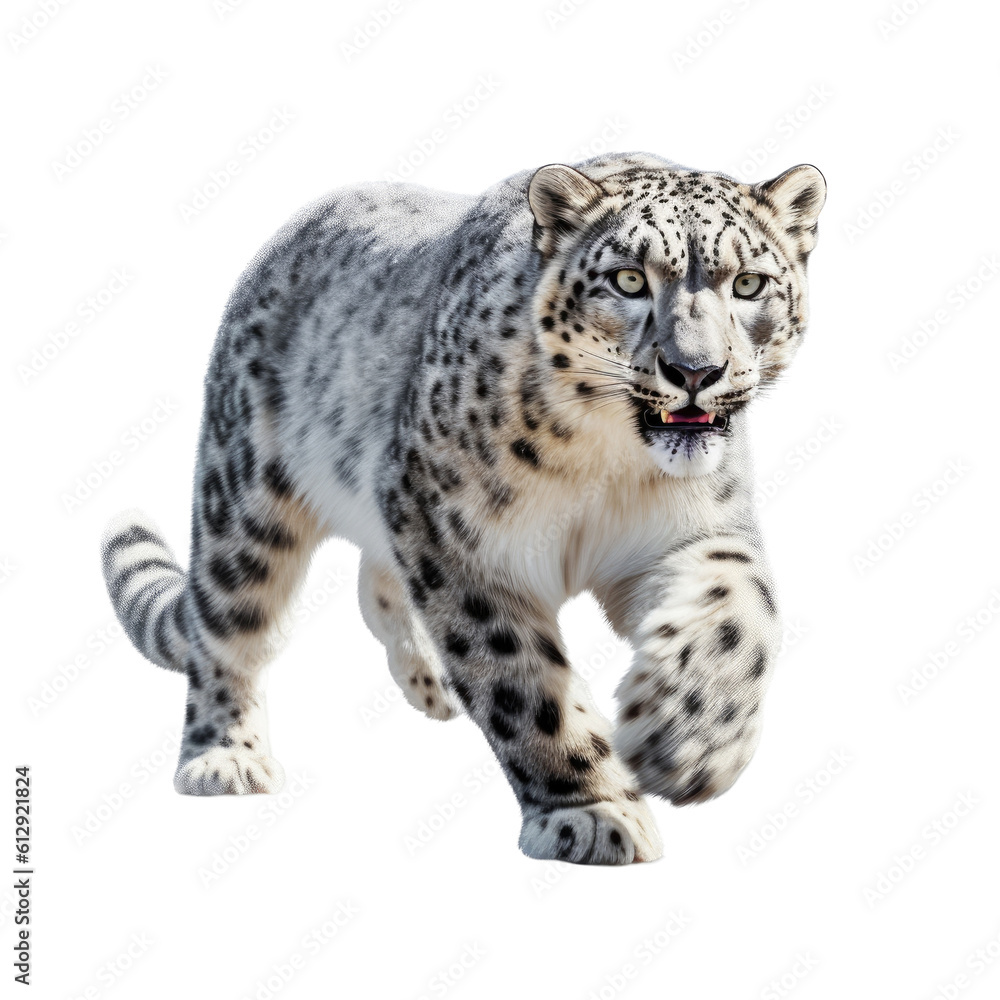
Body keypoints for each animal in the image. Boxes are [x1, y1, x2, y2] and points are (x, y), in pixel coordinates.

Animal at [101, 151, 826, 865]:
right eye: (627, 279)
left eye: (750, 284)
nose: (695, 371)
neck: (610, 461)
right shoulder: (457, 538)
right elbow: (522, 681)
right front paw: (592, 812)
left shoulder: (697, 529)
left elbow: (739, 611)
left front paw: (687, 744)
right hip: (244, 500)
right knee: (228, 625)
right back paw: (224, 757)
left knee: (376, 582)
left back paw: (433, 681)